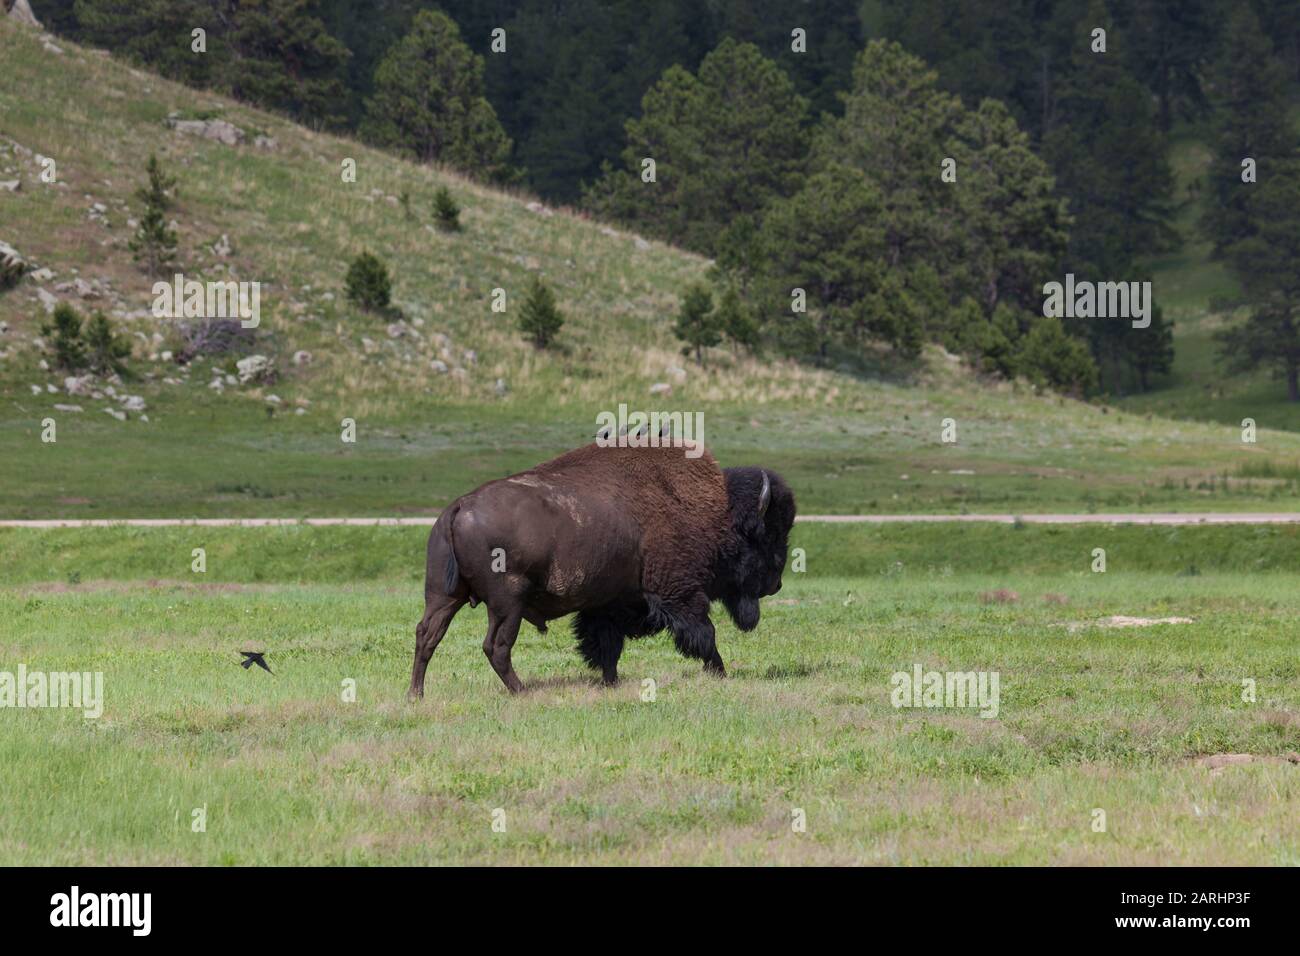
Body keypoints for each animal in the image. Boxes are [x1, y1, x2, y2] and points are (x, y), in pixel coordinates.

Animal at [407, 441, 796, 696]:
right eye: (766, 535)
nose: (776, 584)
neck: (714, 513)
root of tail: (458, 507)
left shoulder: (608, 604)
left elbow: (606, 644)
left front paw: (611, 682)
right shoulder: (679, 594)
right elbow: (704, 634)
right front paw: (721, 673)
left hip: (443, 596)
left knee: (427, 635)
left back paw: (416, 694)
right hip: (507, 604)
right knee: (496, 646)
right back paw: (521, 690)